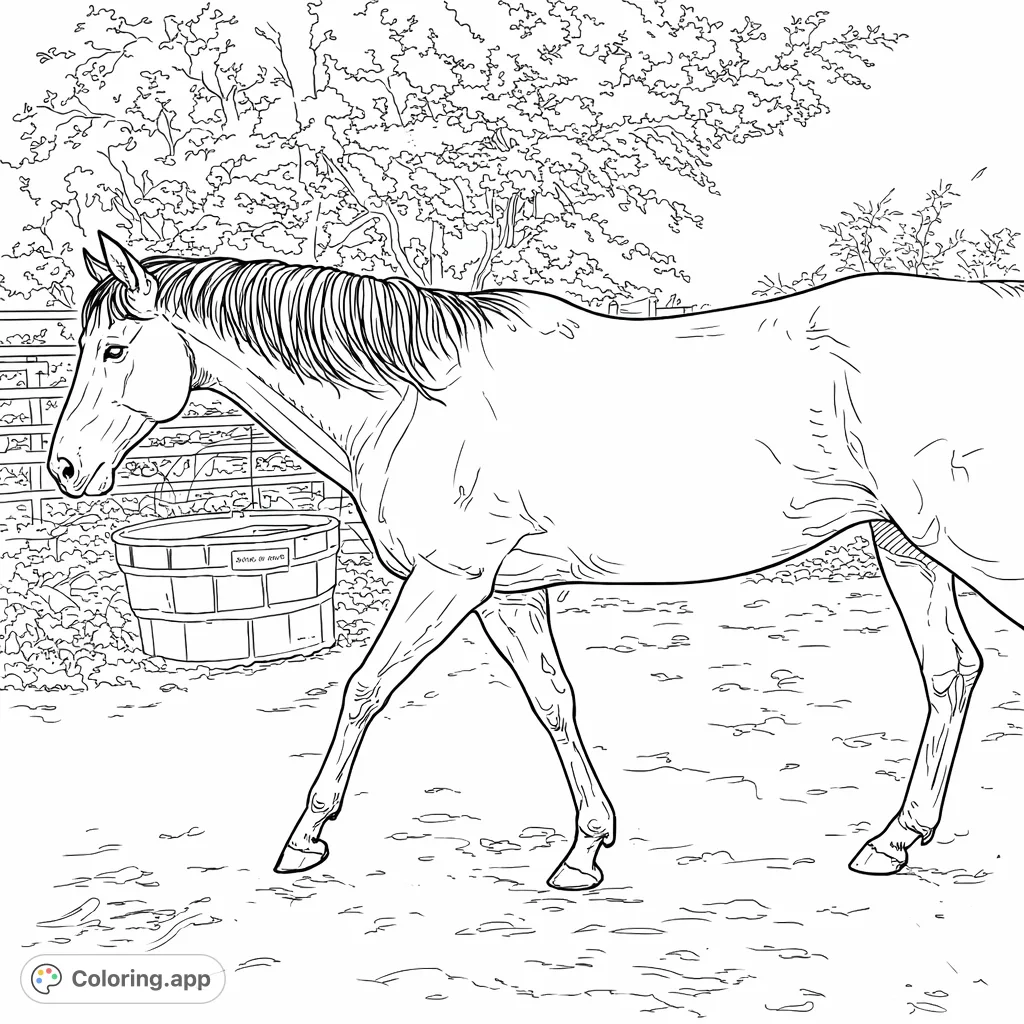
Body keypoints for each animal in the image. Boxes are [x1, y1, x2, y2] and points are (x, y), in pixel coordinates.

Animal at [48, 231, 1013, 890]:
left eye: (114, 348)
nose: (64, 468)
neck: (416, 399)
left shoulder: (448, 579)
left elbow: (362, 689)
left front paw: (304, 839)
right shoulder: (509, 594)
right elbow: (554, 703)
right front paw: (586, 850)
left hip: (968, 544)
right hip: (906, 544)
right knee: (950, 671)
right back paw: (891, 842)